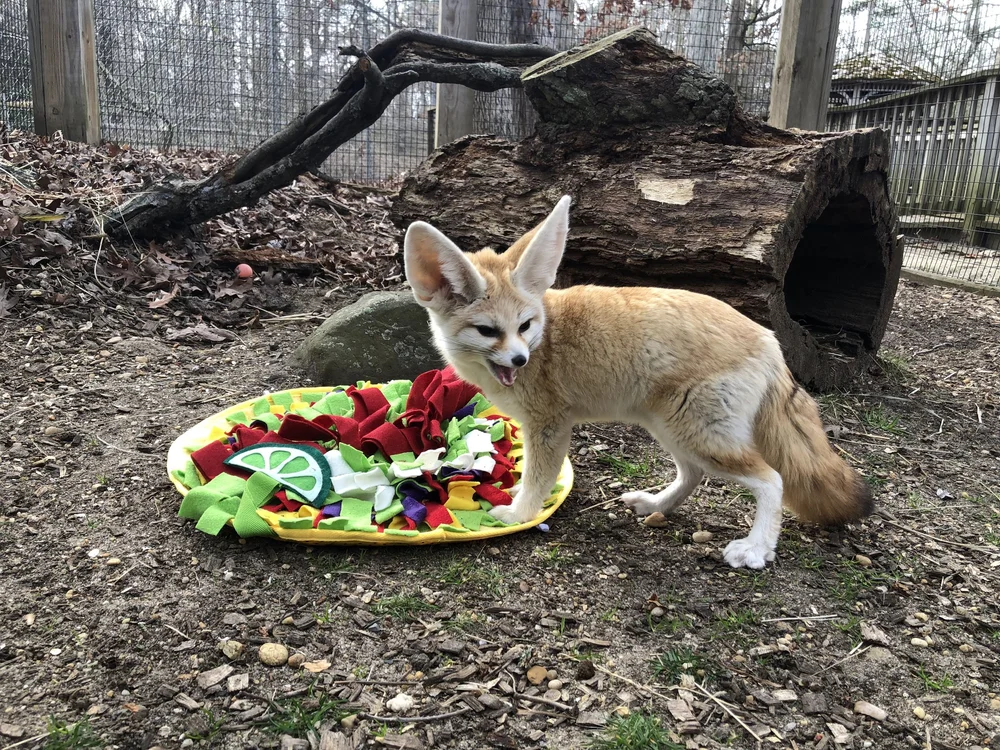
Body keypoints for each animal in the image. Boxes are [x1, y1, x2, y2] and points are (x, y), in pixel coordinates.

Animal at [402, 195, 874, 568]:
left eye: (525, 326)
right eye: (488, 331)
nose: (520, 358)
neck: (545, 336)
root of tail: (770, 339)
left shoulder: (549, 426)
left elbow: (538, 480)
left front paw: (519, 513)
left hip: (699, 435)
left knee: (772, 479)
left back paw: (757, 548)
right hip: (671, 429)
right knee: (693, 475)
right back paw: (657, 504)